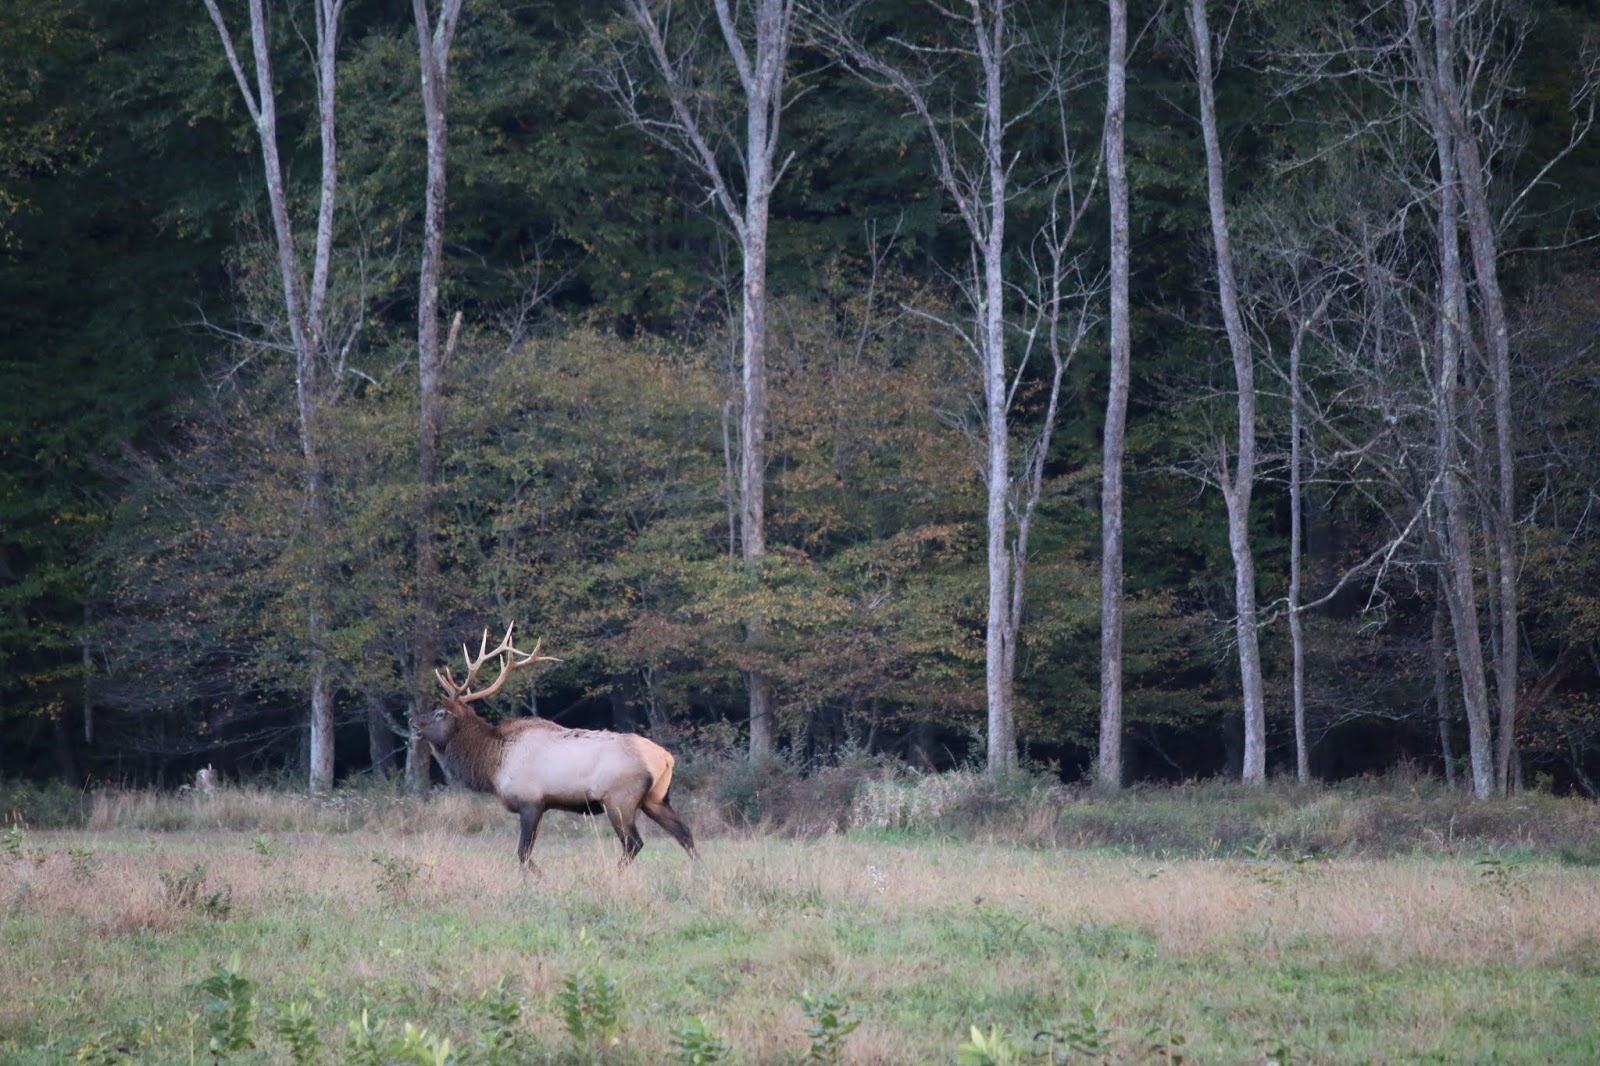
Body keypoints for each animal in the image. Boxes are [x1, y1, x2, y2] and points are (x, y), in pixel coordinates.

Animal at [409, 623, 697, 868]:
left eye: (439, 713)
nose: (411, 719)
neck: (493, 763)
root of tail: (665, 758)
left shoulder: (531, 801)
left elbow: (523, 852)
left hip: (619, 798)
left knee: (634, 843)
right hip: (656, 797)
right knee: (685, 834)